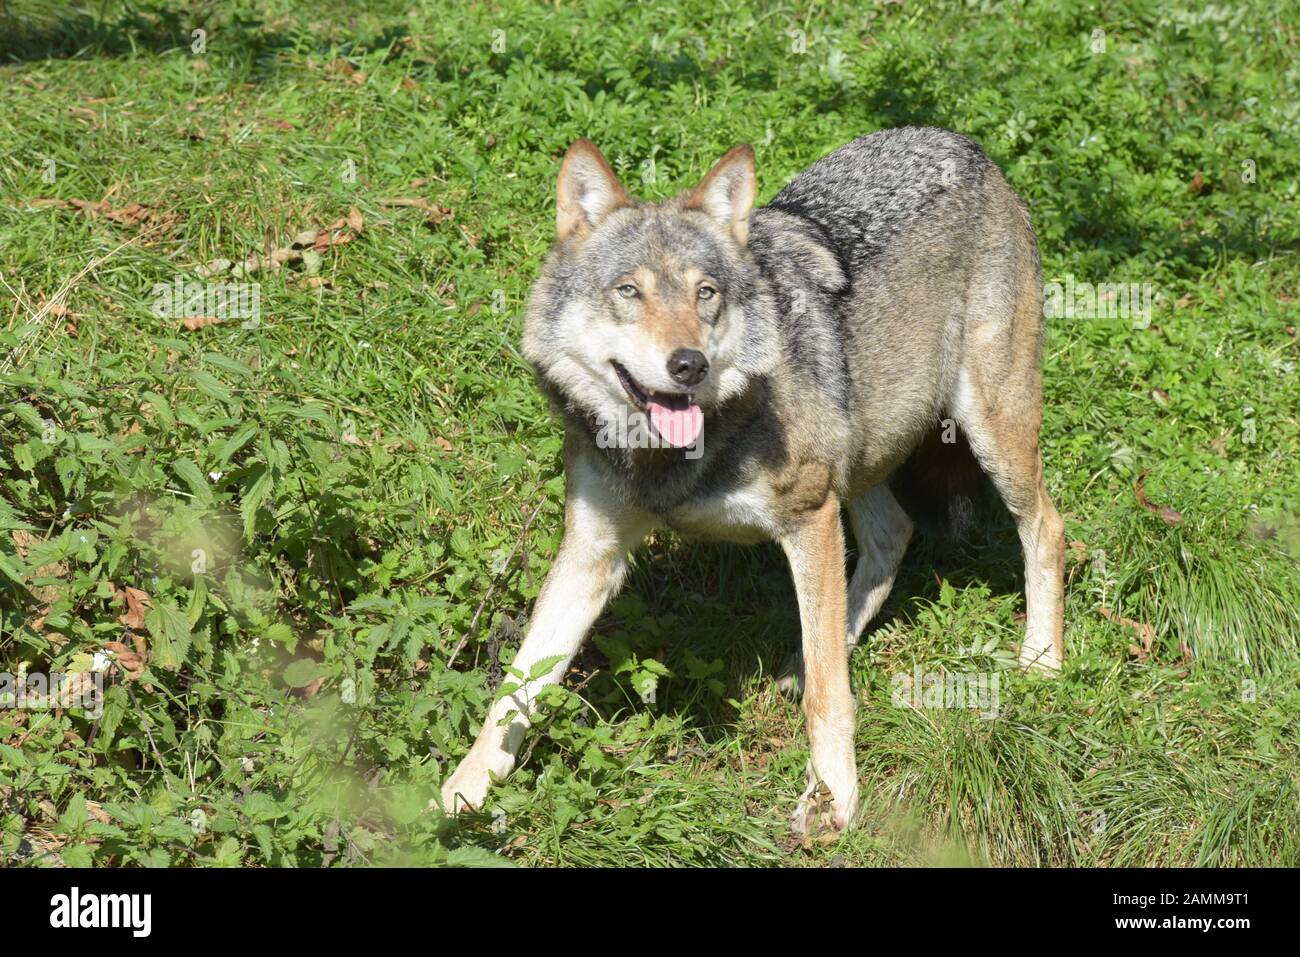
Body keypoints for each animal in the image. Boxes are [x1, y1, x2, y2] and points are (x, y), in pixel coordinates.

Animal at [440, 127, 1066, 834]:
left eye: (706, 293)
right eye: (629, 291)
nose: (688, 364)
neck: (676, 461)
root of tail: (963, 144)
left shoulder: (808, 516)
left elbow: (830, 697)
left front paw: (833, 798)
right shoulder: (590, 553)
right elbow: (515, 689)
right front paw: (456, 796)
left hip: (988, 432)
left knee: (1046, 527)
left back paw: (1042, 661)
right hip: (859, 458)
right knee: (891, 539)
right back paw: (811, 657)